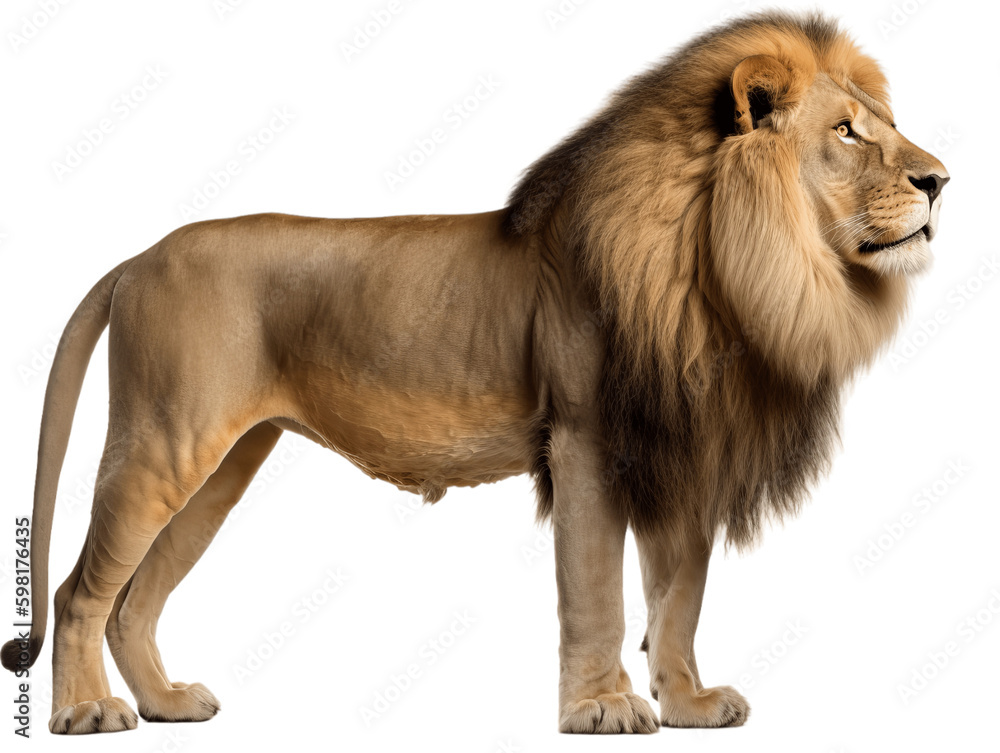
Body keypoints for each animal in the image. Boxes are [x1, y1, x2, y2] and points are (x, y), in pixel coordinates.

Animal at [1, 11, 947, 735]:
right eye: (847, 130)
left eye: (882, 121)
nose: (941, 179)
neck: (722, 268)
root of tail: (135, 258)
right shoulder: (588, 440)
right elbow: (598, 592)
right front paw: (602, 708)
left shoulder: (681, 446)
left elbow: (679, 596)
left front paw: (687, 702)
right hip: (165, 441)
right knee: (81, 589)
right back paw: (87, 714)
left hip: (225, 463)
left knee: (135, 598)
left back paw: (164, 702)